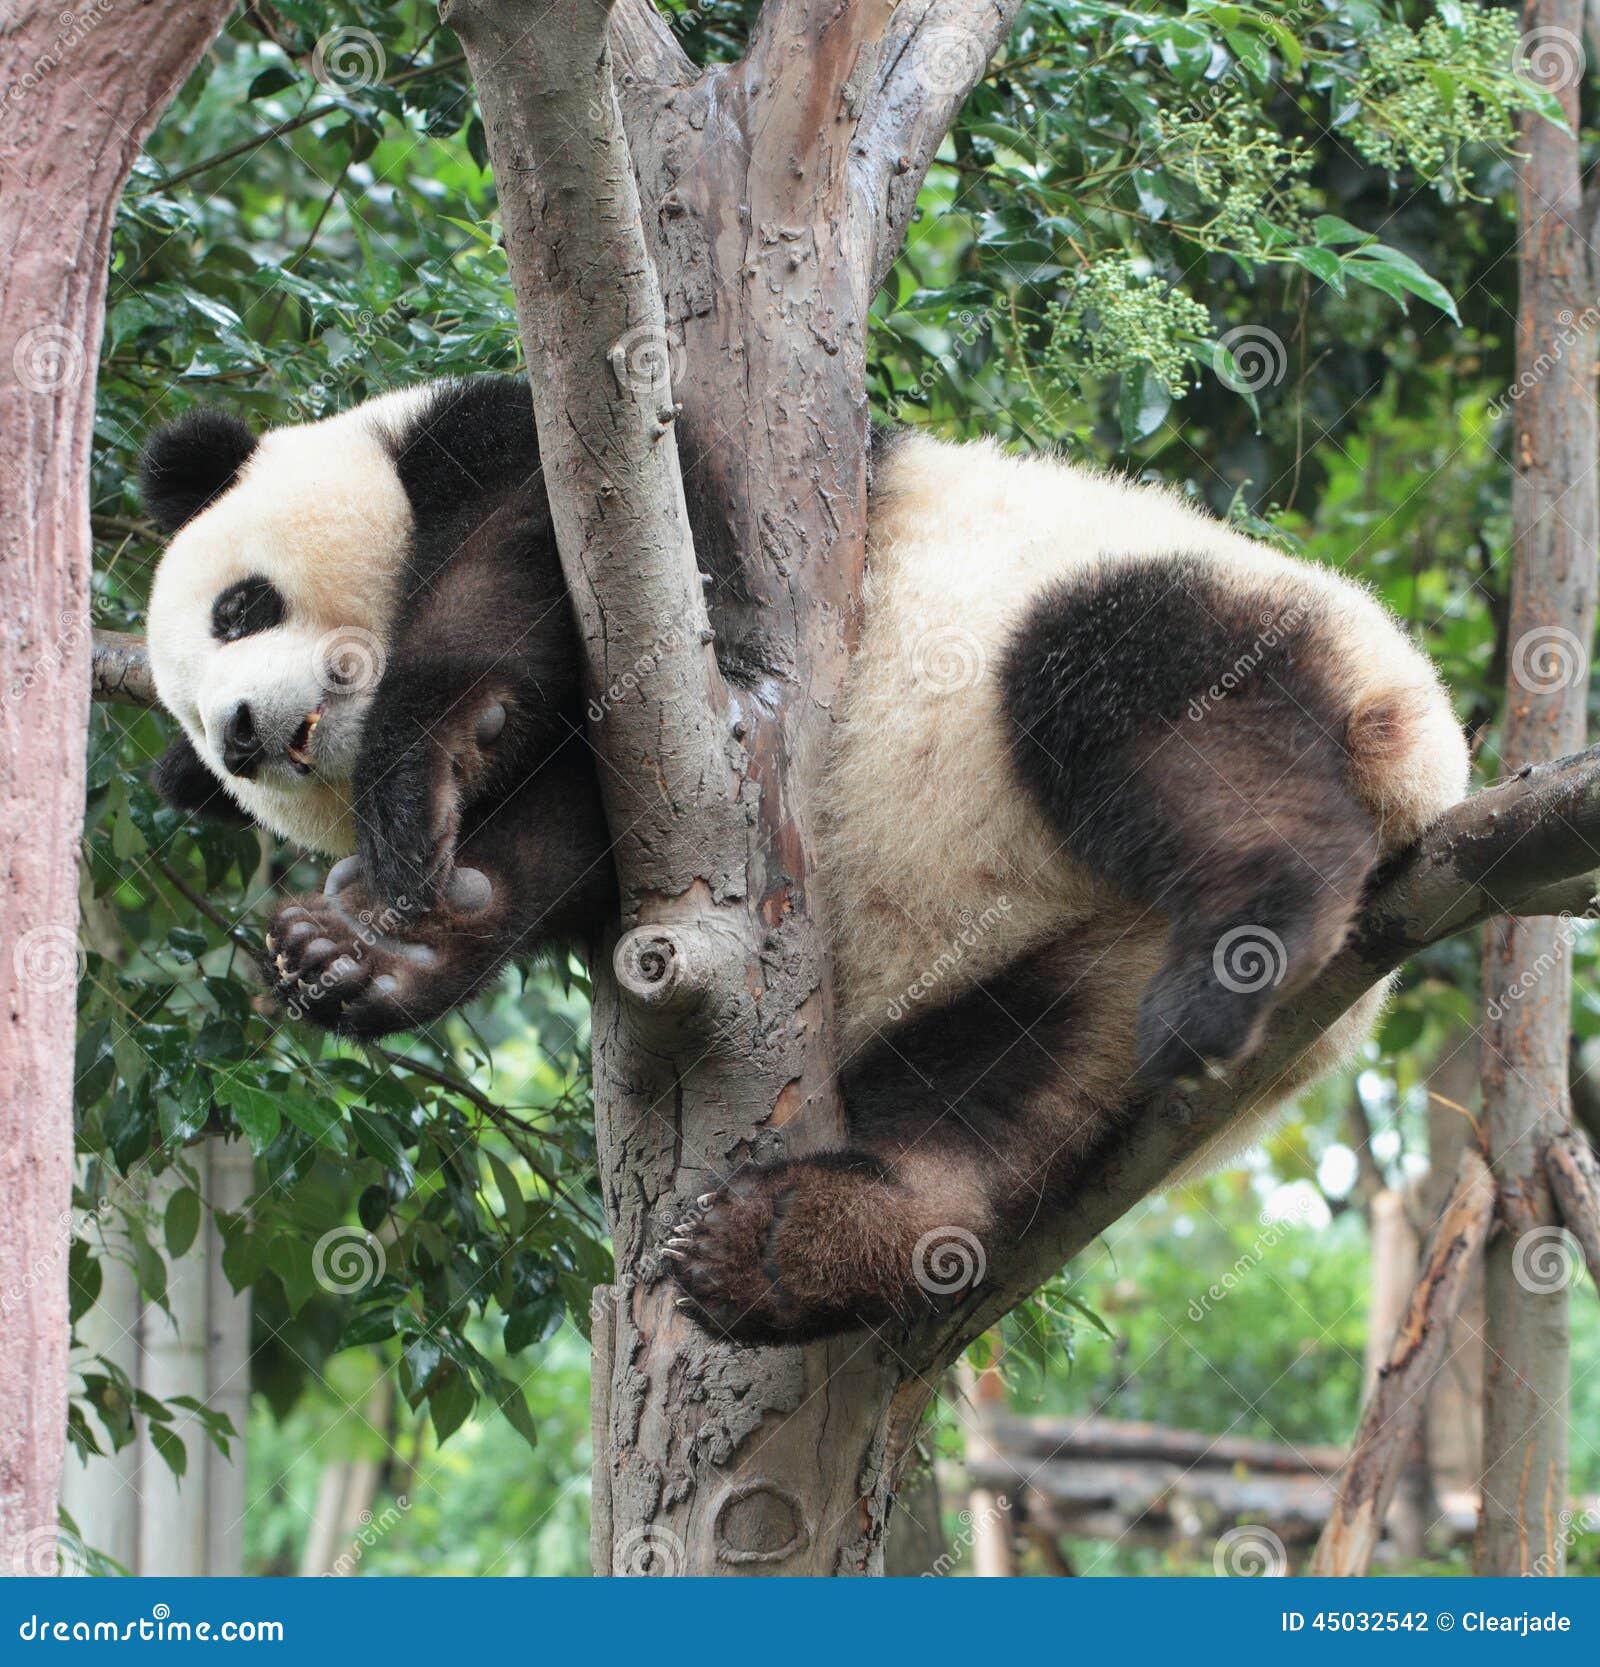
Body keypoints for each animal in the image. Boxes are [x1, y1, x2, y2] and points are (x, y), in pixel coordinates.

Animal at [140, 375, 1468, 1343]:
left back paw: (1241, 942)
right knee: (980, 1096)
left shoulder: (597, 483)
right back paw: (800, 1244)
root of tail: (1418, 759)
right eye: (209, 747)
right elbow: (567, 849)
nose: (244, 731)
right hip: (1075, 977)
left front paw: (422, 771)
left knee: (1126, 689)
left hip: (1192, 613)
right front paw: (368, 950)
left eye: (237, 609)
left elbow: (538, 553)